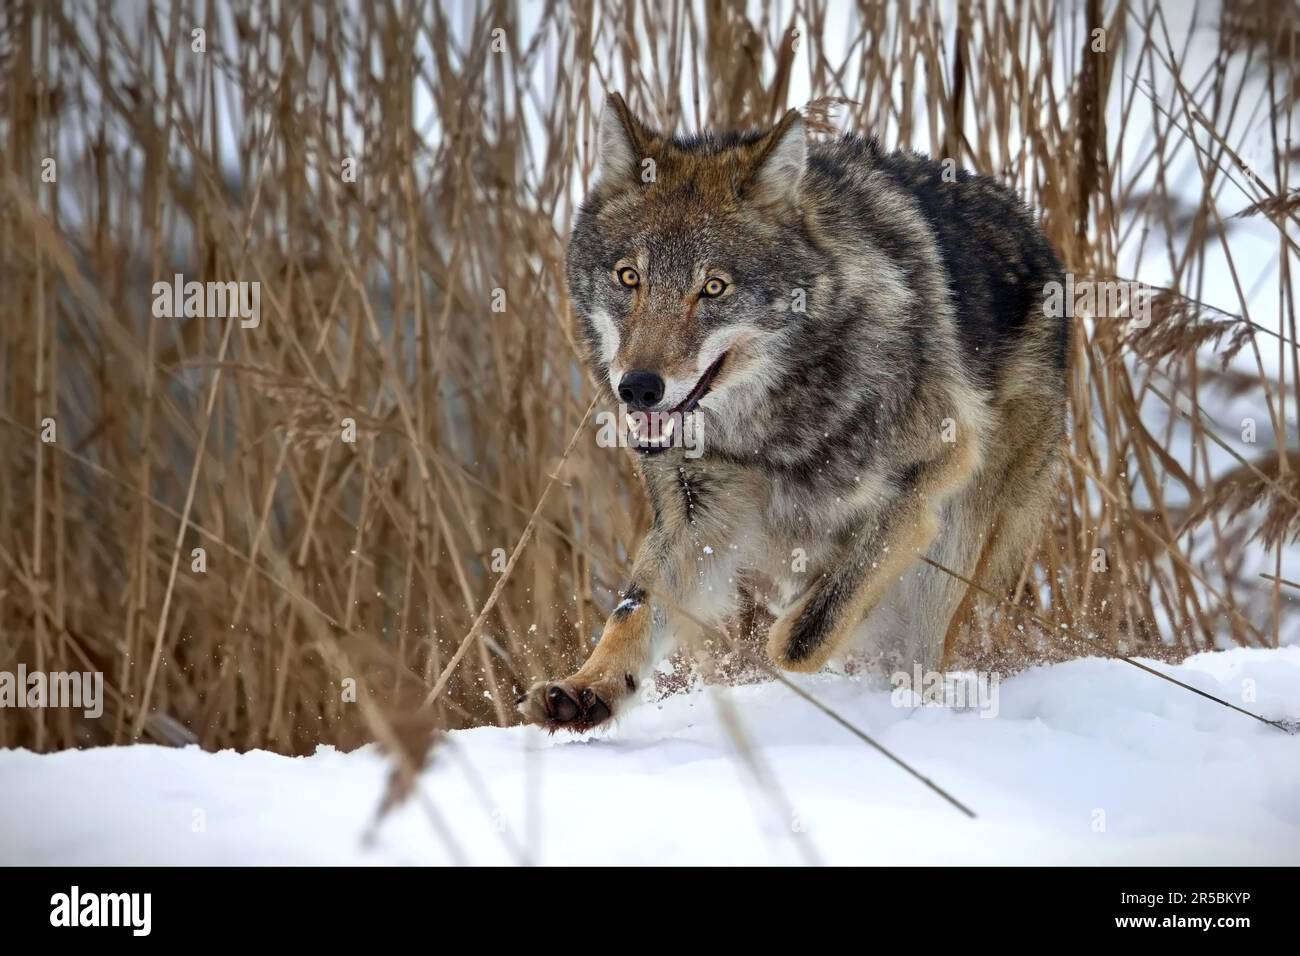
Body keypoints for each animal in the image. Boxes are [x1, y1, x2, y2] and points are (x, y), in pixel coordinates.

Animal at [518, 94, 1068, 731]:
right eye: (629, 277)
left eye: (713, 288)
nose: (638, 388)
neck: (765, 428)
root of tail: (1031, 227)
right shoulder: (693, 516)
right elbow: (632, 610)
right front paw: (588, 689)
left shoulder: (932, 472)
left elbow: (809, 628)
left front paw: (793, 632)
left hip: (958, 539)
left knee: (919, 652)